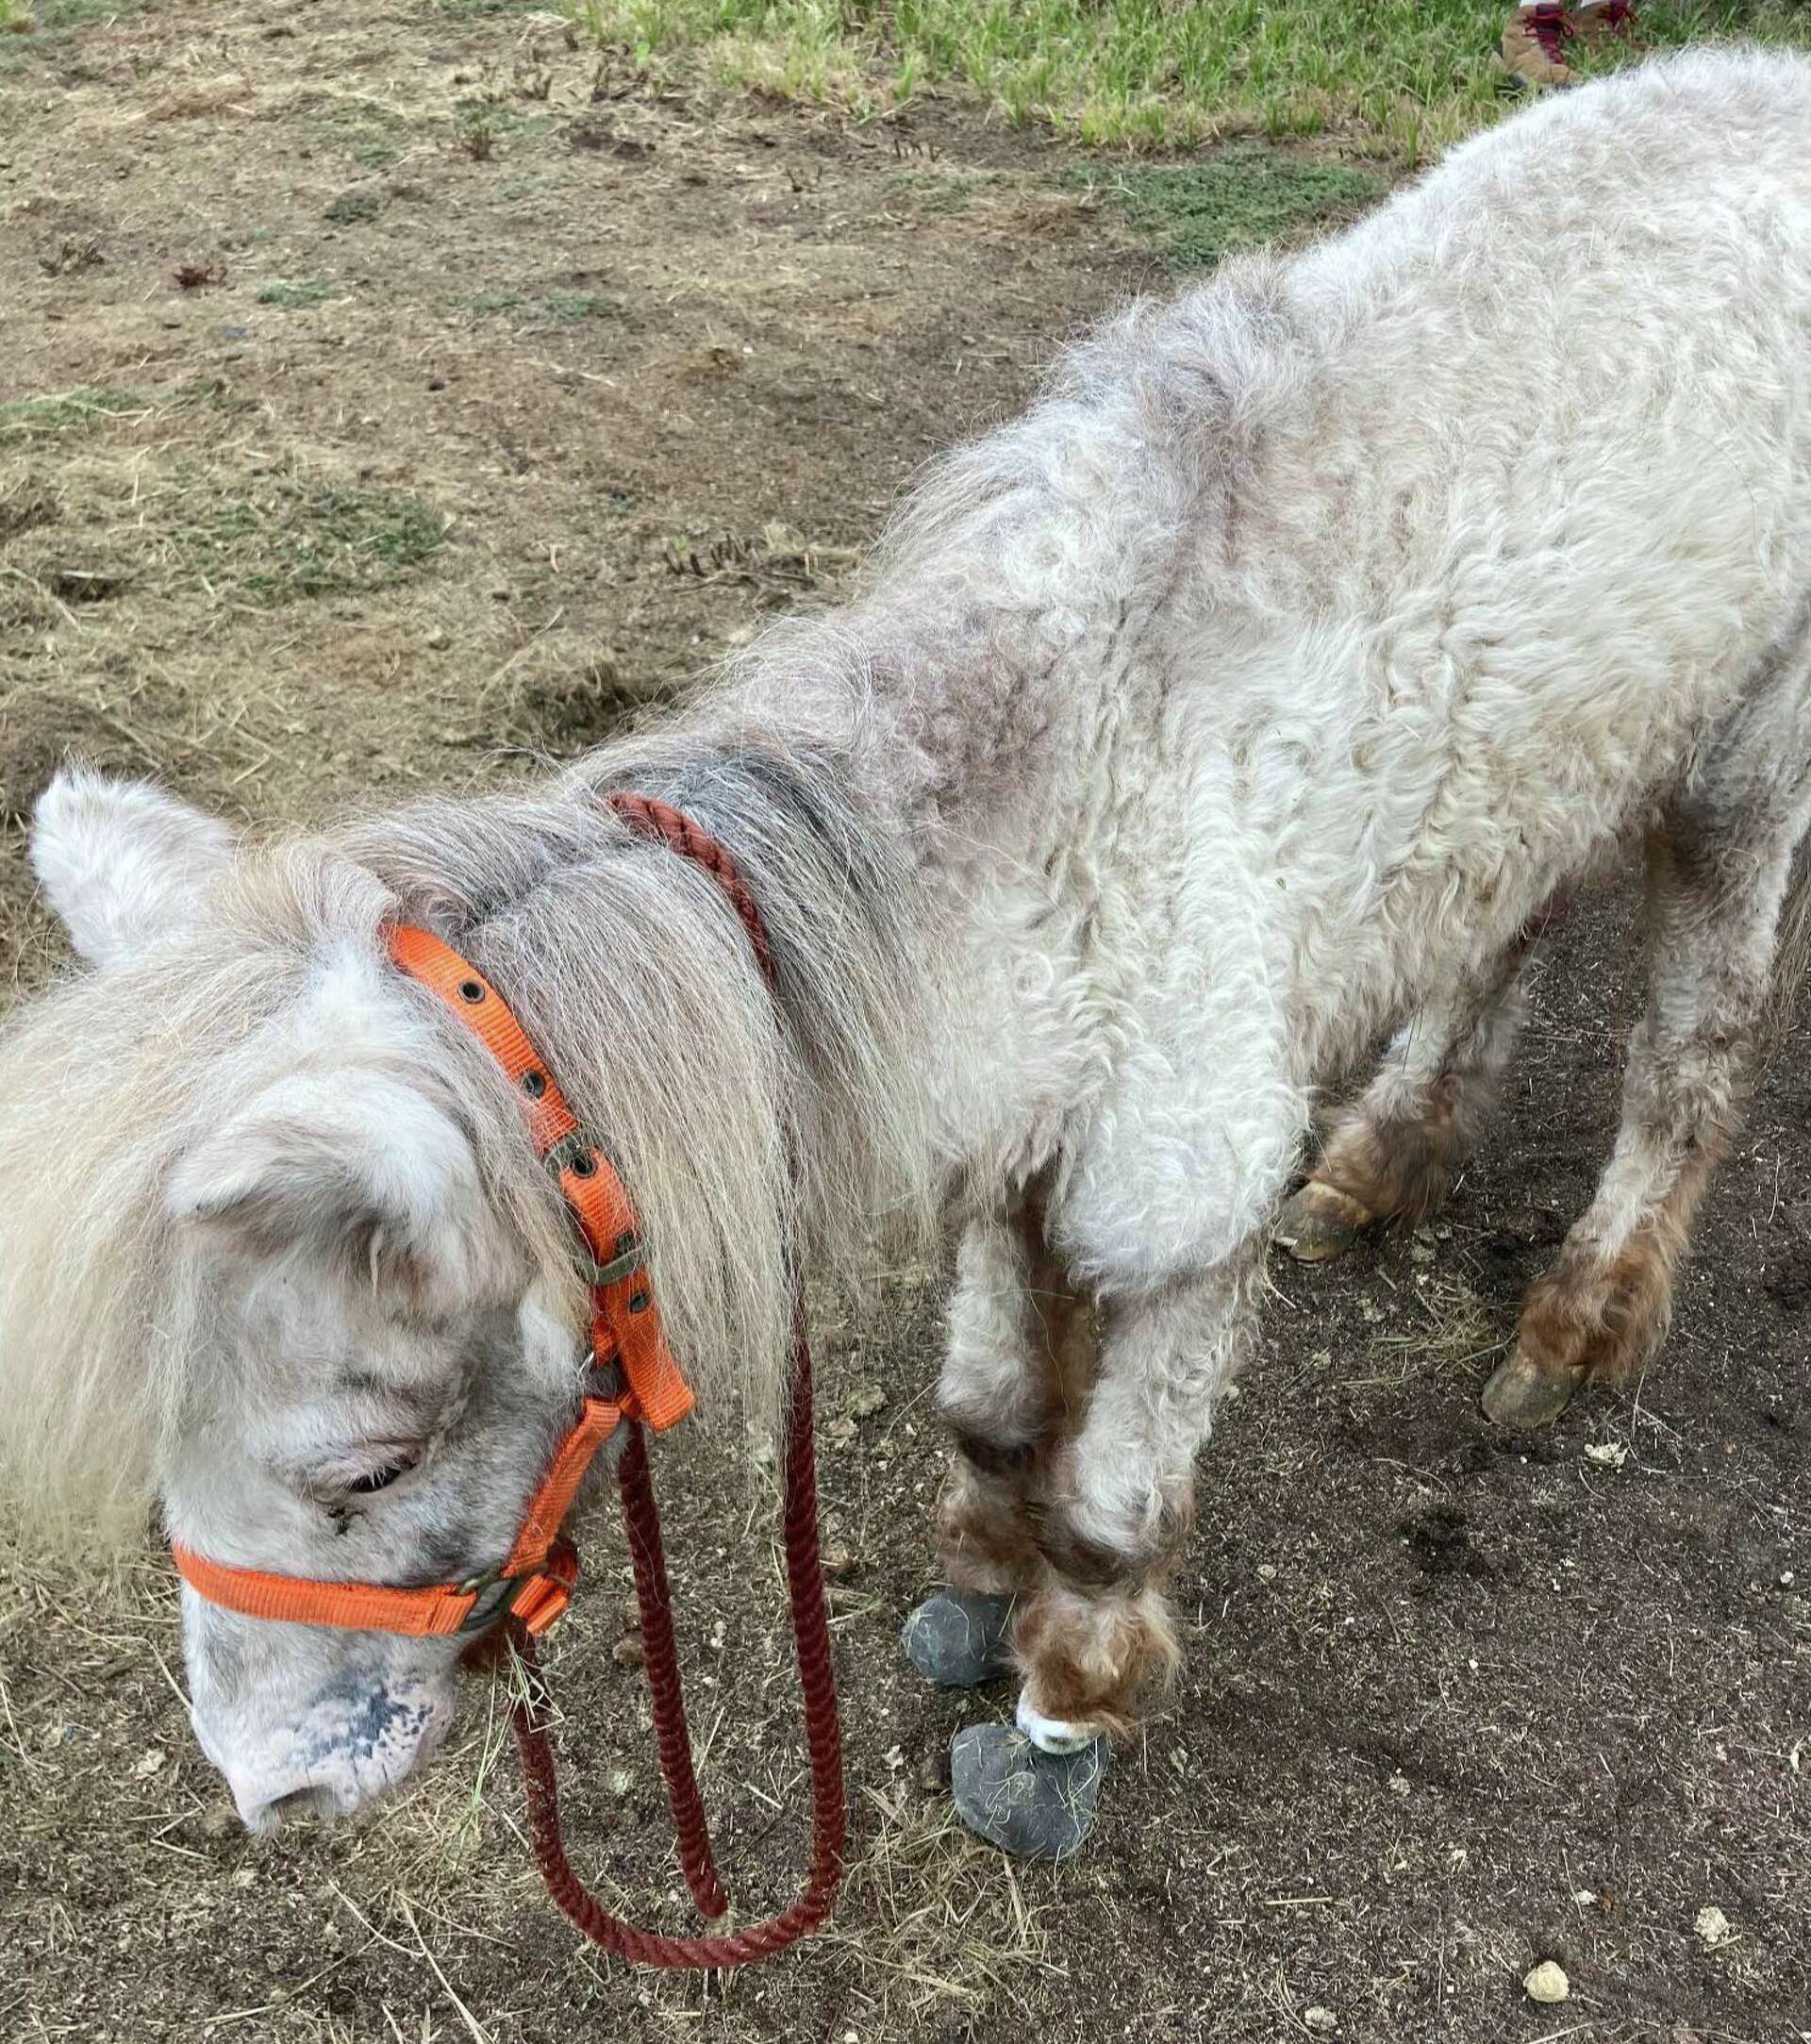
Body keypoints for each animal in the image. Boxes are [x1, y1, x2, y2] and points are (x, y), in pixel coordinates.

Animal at [5, 47, 1811, 1865]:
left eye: (364, 1470)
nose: (274, 1787)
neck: (1069, 799)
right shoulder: (1019, 1145)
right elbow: (996, 1405)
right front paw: (976, 1600)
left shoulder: (1179, 1195)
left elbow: (1110, 1502)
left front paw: (1061, 1709)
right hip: (1551, 745)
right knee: (1506, 918)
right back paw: (1383, 1161)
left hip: (1746, 747)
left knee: (1698, 1033)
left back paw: (1577, 1324)